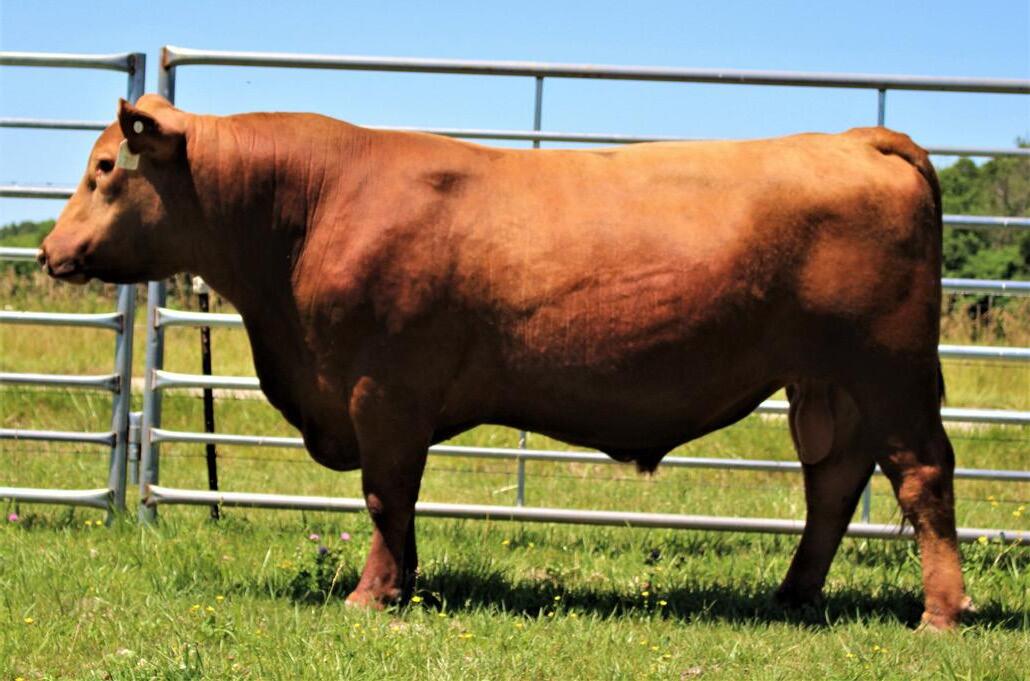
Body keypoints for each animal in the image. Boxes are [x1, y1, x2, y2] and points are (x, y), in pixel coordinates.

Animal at [39, 94, 970, 629]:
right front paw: (405, 585)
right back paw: (795, 594)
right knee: (834, 482)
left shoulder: (382, 390)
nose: (48, 250)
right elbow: (399, 503)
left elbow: (384, 495)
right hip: (829, 383)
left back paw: (940, 612)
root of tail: (855, 137)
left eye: (103, 166)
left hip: (888, 370)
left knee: (922, 474)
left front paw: (372, 596)